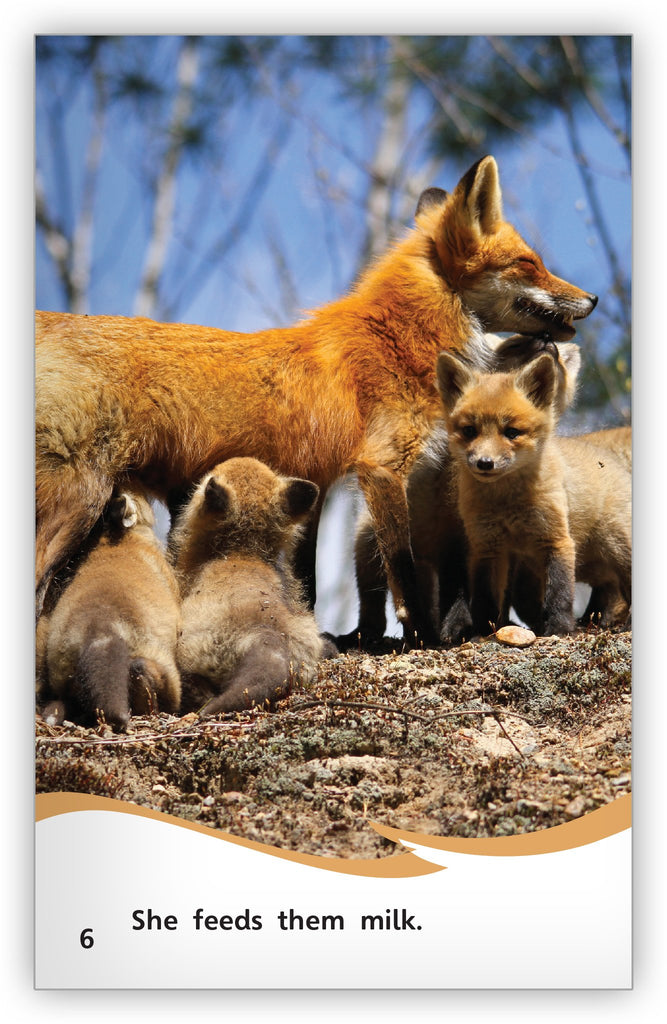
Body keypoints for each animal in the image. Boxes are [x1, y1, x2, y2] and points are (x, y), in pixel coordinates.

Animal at [351, 338, 582, 644]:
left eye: (554, 352)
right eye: (514, 347)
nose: (546, 346)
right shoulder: (457, 535)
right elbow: (461, 587)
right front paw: (460, 628)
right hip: (374, 550)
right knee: (378, 604)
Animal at [435, 351, 631, 638]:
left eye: (511, 432)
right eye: (470, 430)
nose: (484, 463)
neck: (507, 503)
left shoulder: (556, 539)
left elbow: (559, 593)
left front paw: (559, 629)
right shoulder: (487, 546)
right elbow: (484, 597)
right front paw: (483, 630)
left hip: (616, 548)